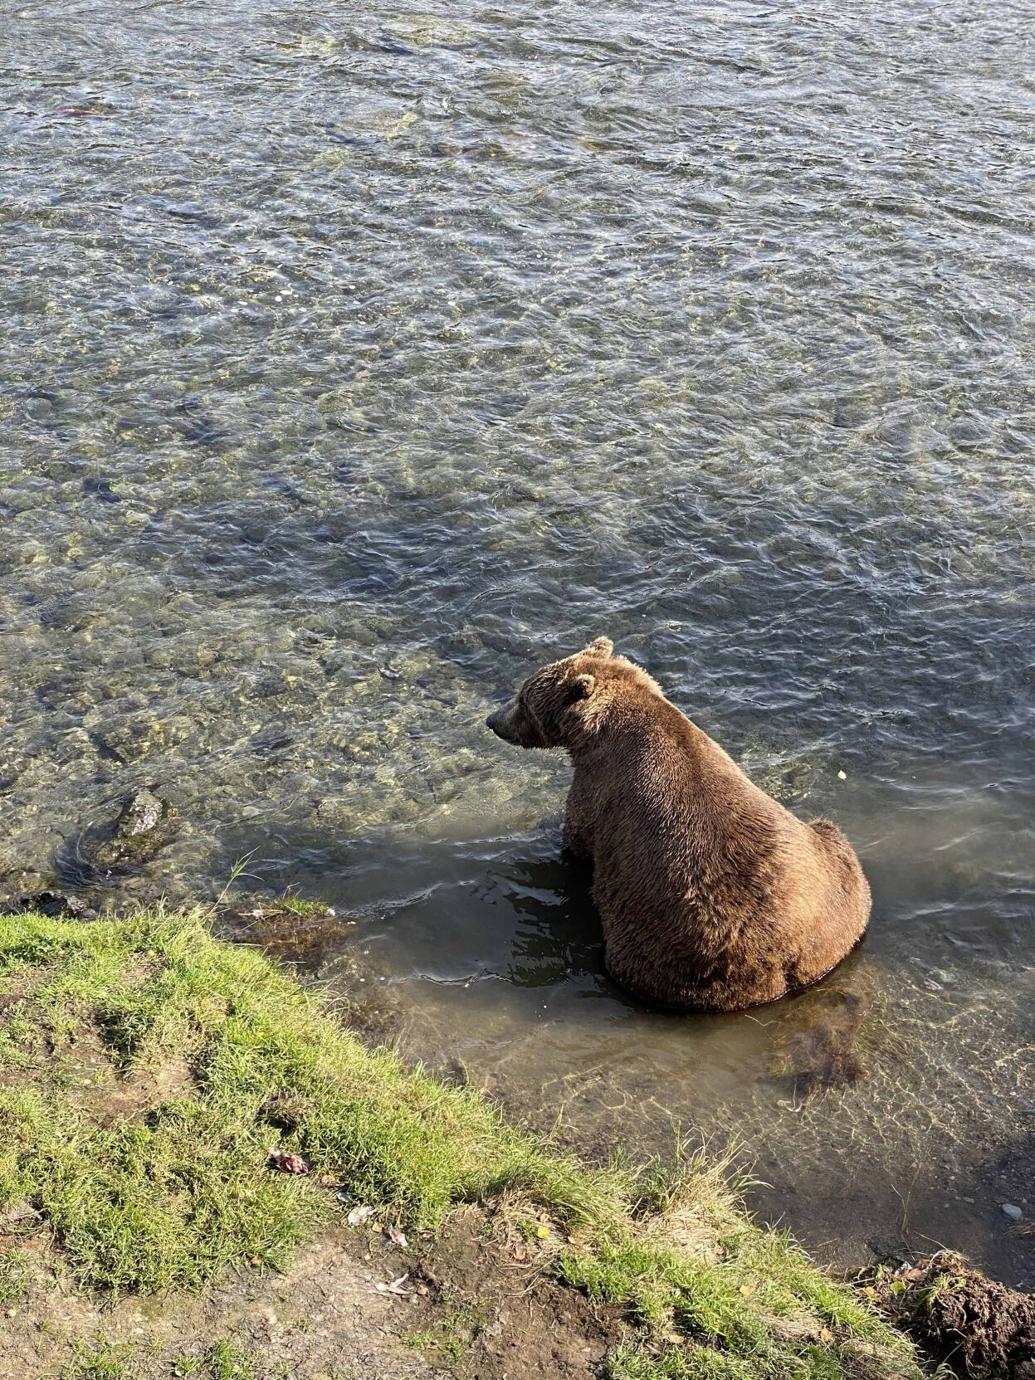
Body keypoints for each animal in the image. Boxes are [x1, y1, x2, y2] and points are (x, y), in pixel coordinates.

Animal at [486, 637, 870, 1012]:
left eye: (523, 698)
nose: (492, 720)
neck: (602, 726)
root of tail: (787, 962)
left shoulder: (596, 788)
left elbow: (577, 838)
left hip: (659, 943)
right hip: (840, 880)